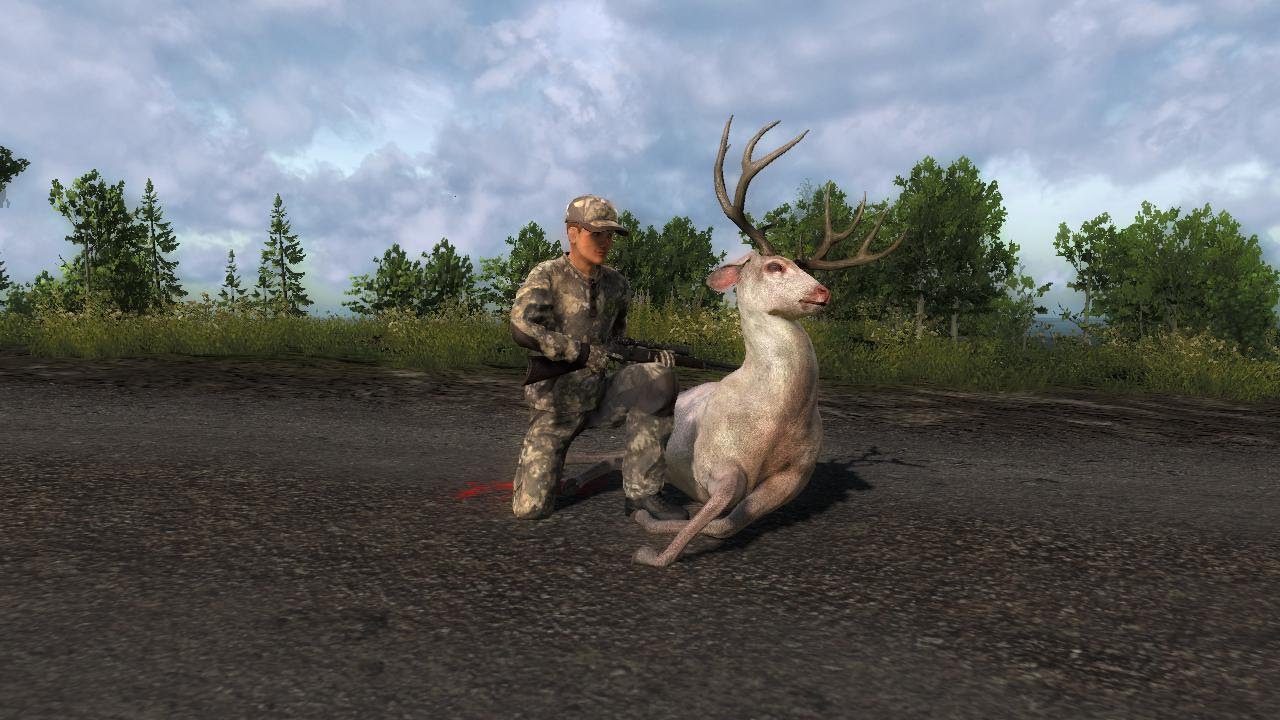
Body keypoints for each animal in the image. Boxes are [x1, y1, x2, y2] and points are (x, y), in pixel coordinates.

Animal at [561, 116, 906, 567]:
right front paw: (653, 549)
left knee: (614, 460)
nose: (823, 293)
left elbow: (727, 524)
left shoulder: (794, 478)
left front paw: (652, 528)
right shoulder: (715, 464)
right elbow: (716, 509)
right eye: (775, 266)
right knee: (617, 456)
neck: (773, 420)